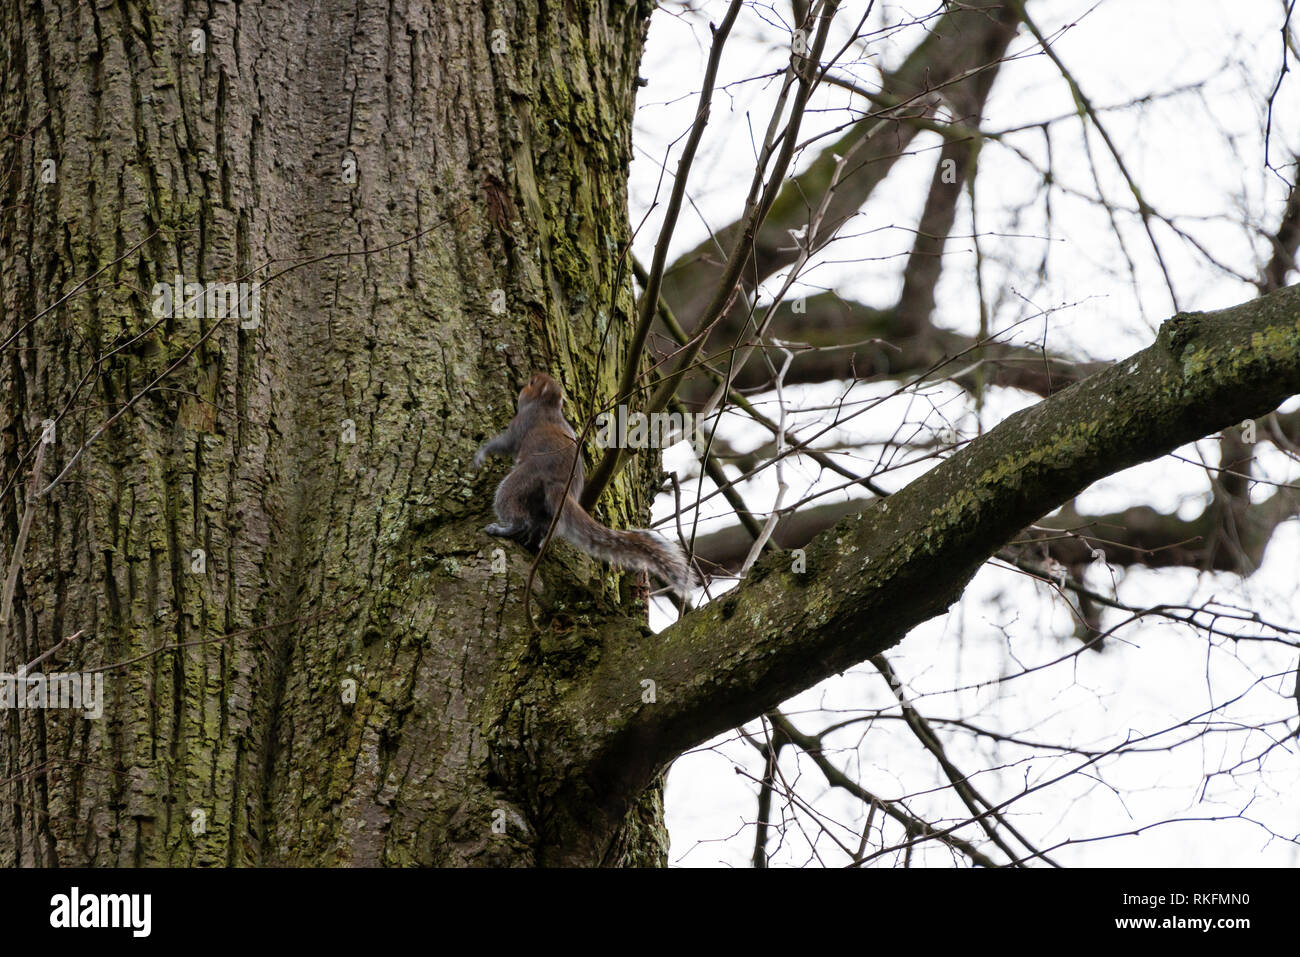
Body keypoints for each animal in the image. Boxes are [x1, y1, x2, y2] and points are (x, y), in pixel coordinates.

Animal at [472, 372, 694, 595]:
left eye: (532, 383)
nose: (525, 380)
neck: (547, 406)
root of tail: (562, 487)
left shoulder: (520, 425)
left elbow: (503, 444)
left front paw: (481, 453)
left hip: (520, 483)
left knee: (519, 516)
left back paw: (503, 530)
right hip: (545, 509)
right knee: (539, 527)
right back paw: (532, 542)